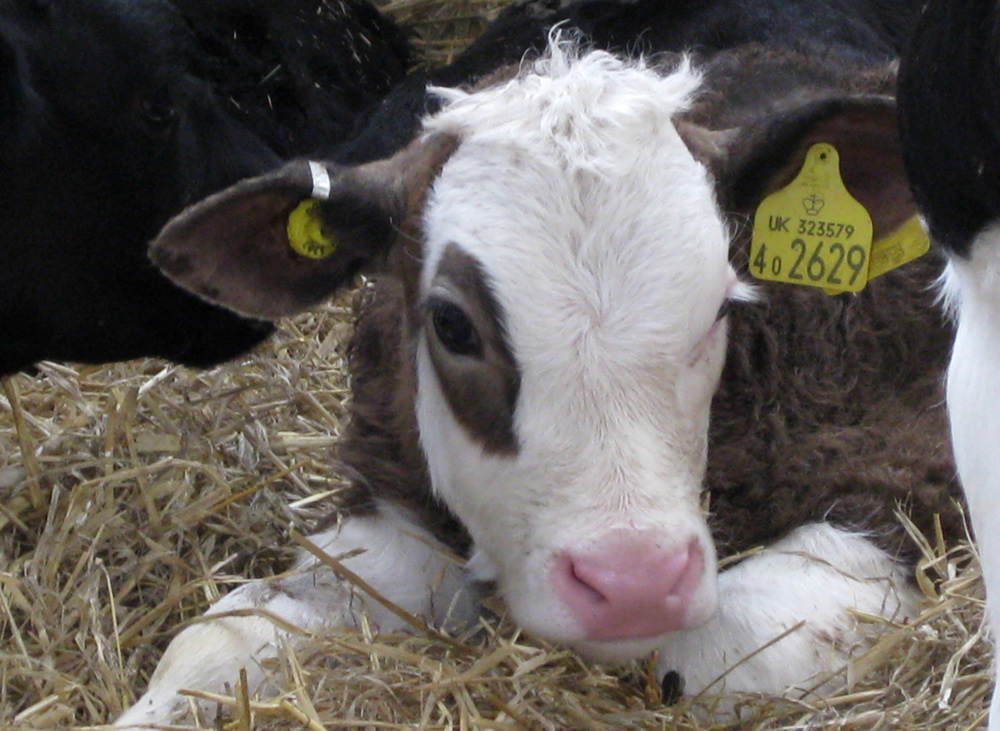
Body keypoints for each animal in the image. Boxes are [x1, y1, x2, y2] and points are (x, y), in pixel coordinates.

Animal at [116, 0, 963, 726]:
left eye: (722, 304)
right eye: (451, 324)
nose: (633, 583)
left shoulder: (910, 463)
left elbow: (712, 653)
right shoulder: (399, 496)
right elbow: (226, 632)